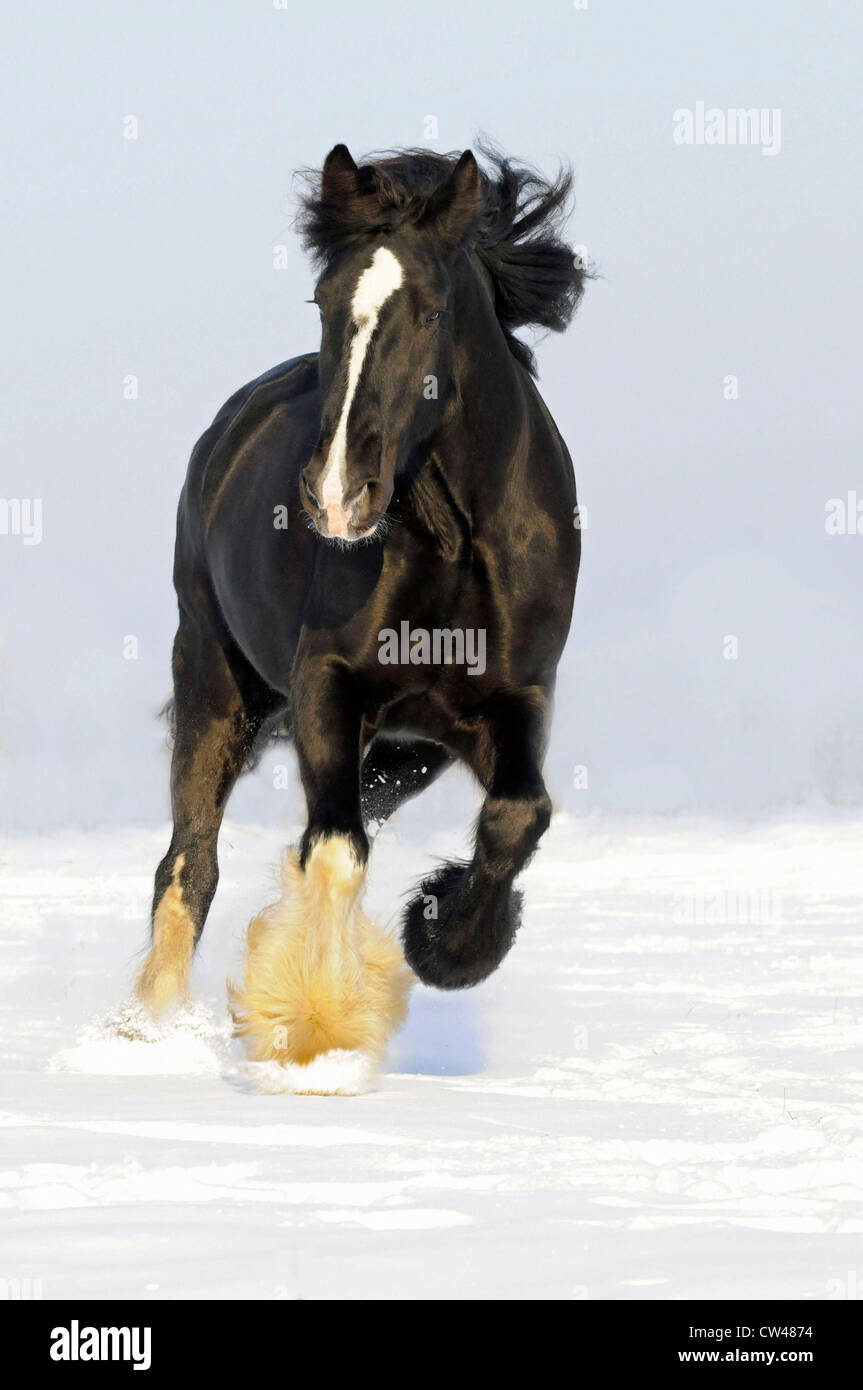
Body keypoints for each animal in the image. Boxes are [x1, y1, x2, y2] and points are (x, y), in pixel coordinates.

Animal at [134, 142, 586, 1089]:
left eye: (432, 310)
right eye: (323, 301)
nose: (337, 495)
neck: (455, 537)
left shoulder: (516, 699)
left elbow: (517, 817)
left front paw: (444, 939)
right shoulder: (327, 686)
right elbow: (336, 854)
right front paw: (314, 1034)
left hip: (410, 748)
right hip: (213, 680)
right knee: (189, 864)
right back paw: (141, 1040)